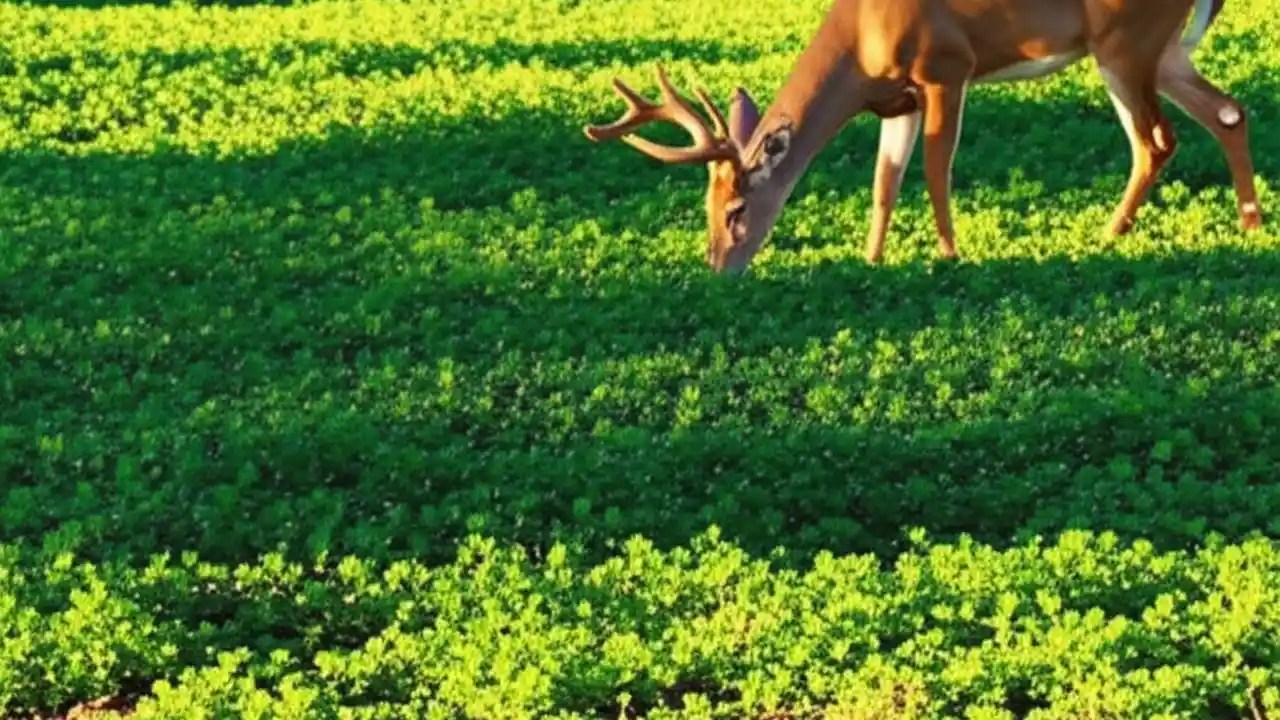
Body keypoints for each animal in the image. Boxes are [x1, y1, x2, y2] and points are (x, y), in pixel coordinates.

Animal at [582, 0, 1262, 273]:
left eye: (736, 210)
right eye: (706, 205)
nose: (718, 269)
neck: (861, 40)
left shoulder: (946, 67)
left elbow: (937, 167)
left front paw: (948, 255)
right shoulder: (895, 100)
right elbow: (884, 182)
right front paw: (871, 259)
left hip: (1123, 44)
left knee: (1156, 139)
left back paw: (1107, 235)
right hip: (1163, 51)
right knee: (1228, 111)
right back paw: (1251, 225)